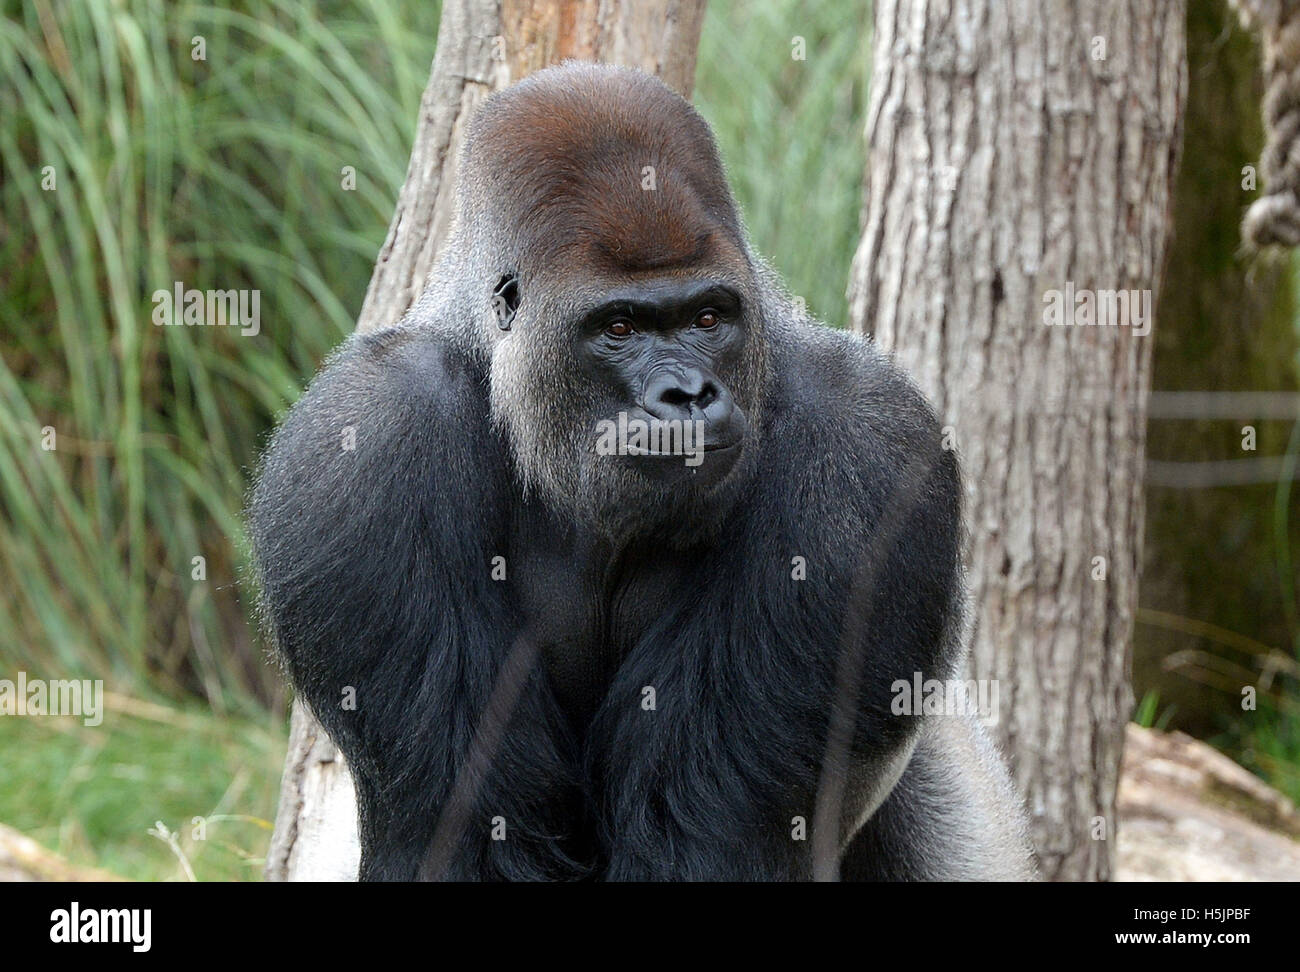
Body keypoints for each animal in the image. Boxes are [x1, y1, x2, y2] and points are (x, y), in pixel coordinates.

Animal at [249, 61, 1036, 881]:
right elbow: (466, 832)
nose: (688, 395)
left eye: (708, 319)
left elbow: (711, 838)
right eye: (619, 328)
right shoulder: (365, 445)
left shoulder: (865, 448)